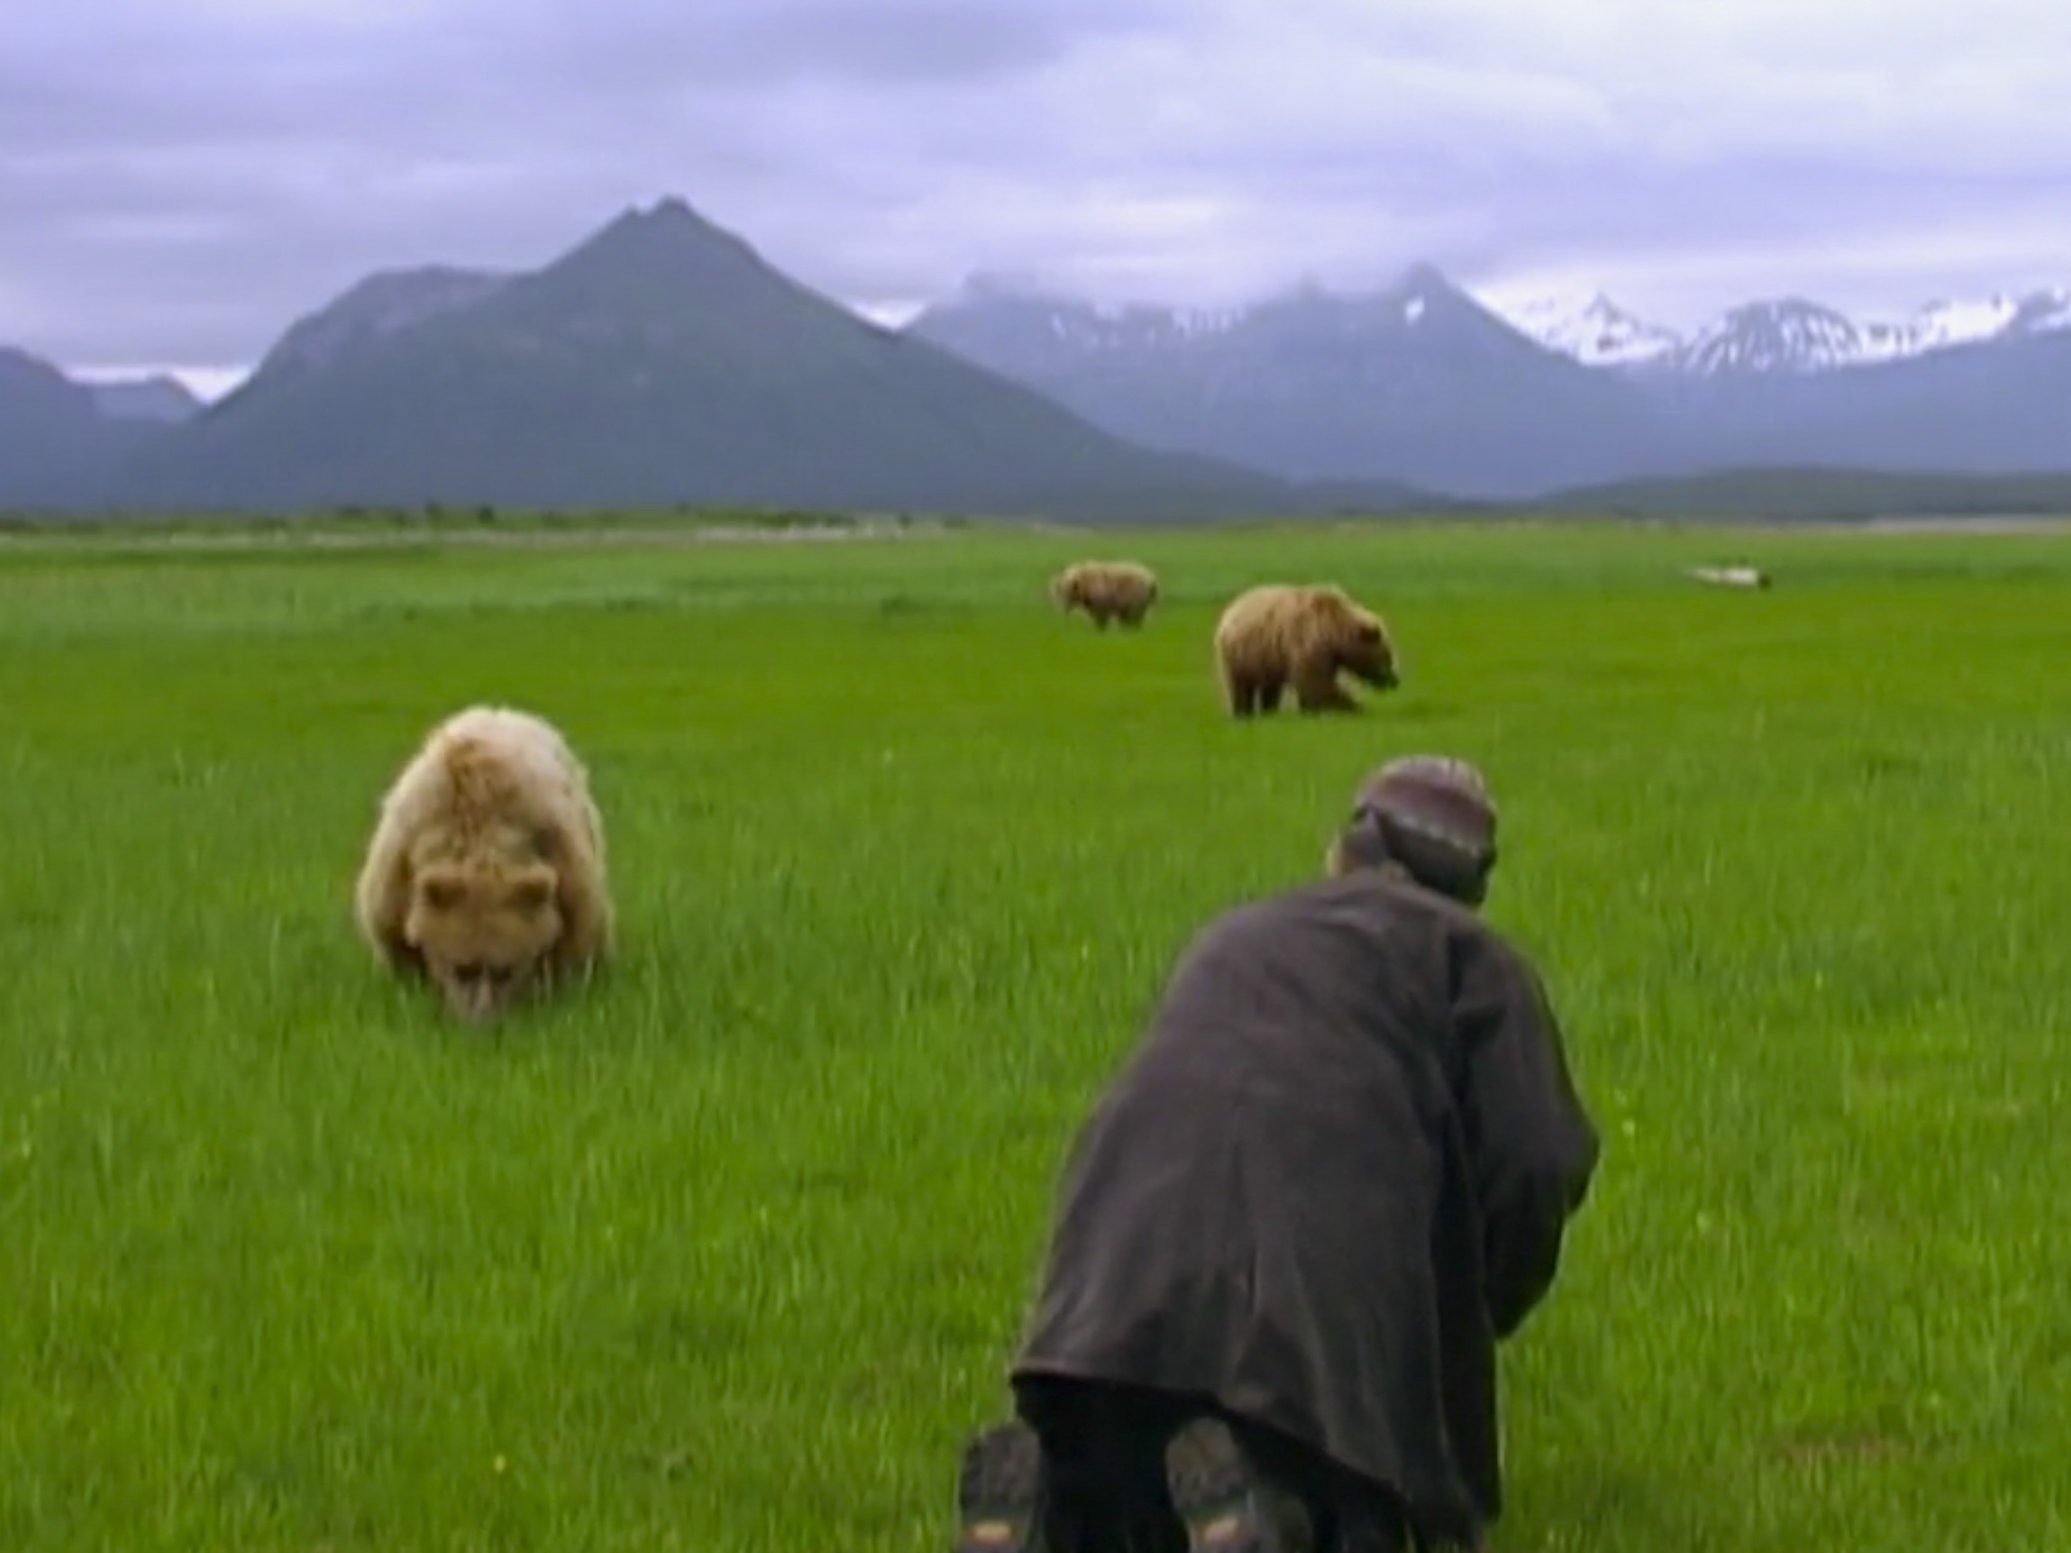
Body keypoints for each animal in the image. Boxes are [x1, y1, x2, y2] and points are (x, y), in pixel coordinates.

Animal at [352, 704, 614, 1025]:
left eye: (505, 970)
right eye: (462, 968)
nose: (482, 1022)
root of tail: (501, 712)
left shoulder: (559, 859)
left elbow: (572, 935)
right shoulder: (400, 868)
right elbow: (394, 939)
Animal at [1212, 582, 1400, 717]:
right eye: (1387, 656)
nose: (1394, 680)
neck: (1334, 632)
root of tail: (1232, 608)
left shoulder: (1327, 654)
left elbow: (1314, 682)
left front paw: (1309, 709)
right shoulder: (1309, 641)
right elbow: (1315, 681)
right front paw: (1354, 706)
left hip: (1266, 657)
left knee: (1270, 687)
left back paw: (1270, 710)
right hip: (1240, 653)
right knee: (1239, 685)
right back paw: (1243, 713)